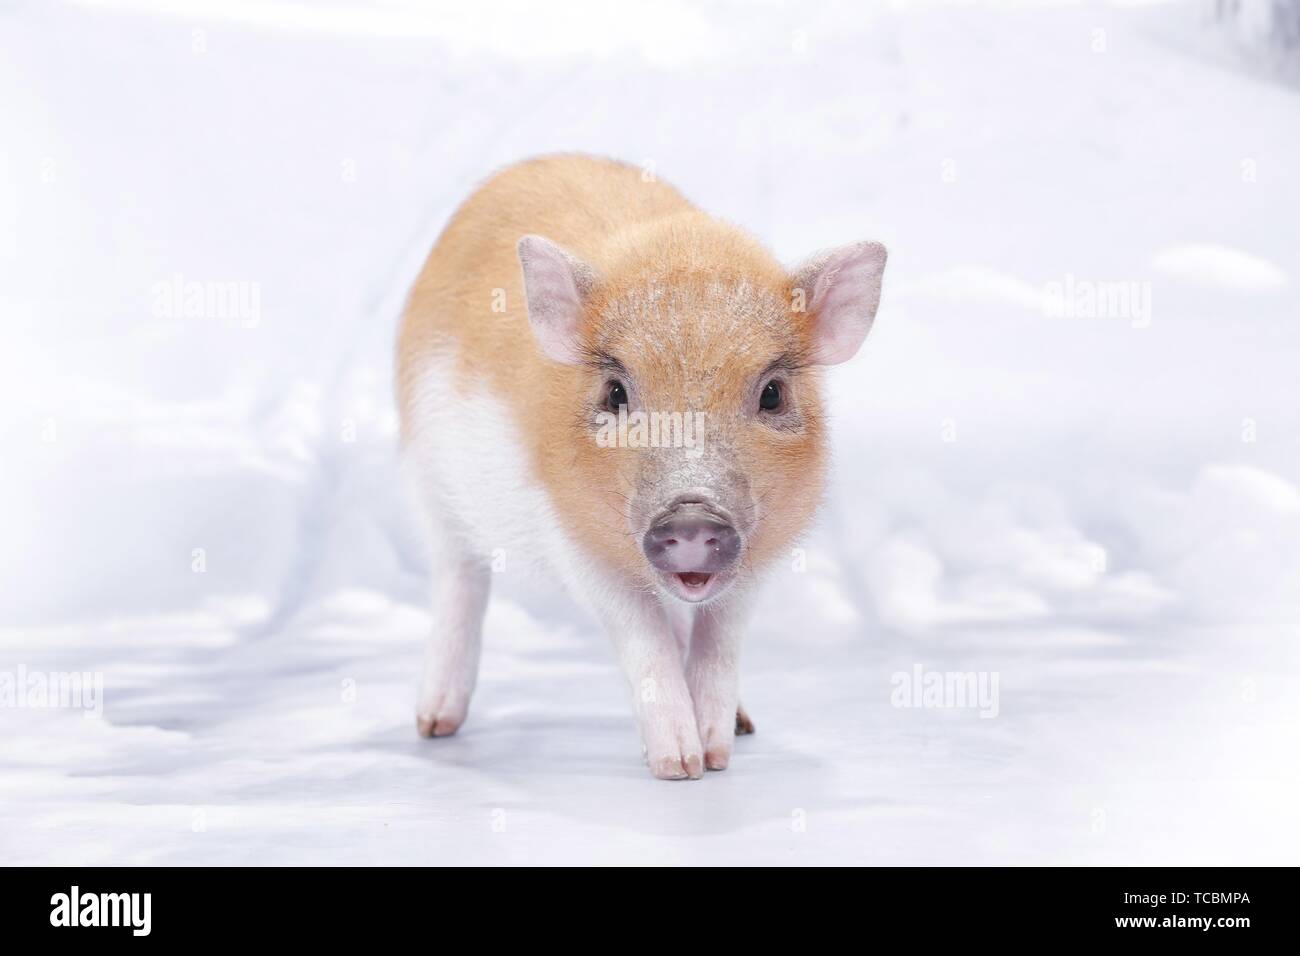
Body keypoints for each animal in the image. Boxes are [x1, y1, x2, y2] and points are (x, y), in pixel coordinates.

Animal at [397, 154, 886, 779]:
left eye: (773, 393)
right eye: (615, 393)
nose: (692, 513)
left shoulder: (758, 558)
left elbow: (718, 640)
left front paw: (717, 754)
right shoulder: (574, 543)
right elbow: (642, 638)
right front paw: (679, 767)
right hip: (430, 485)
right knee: (459, 577)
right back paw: (433, 726)